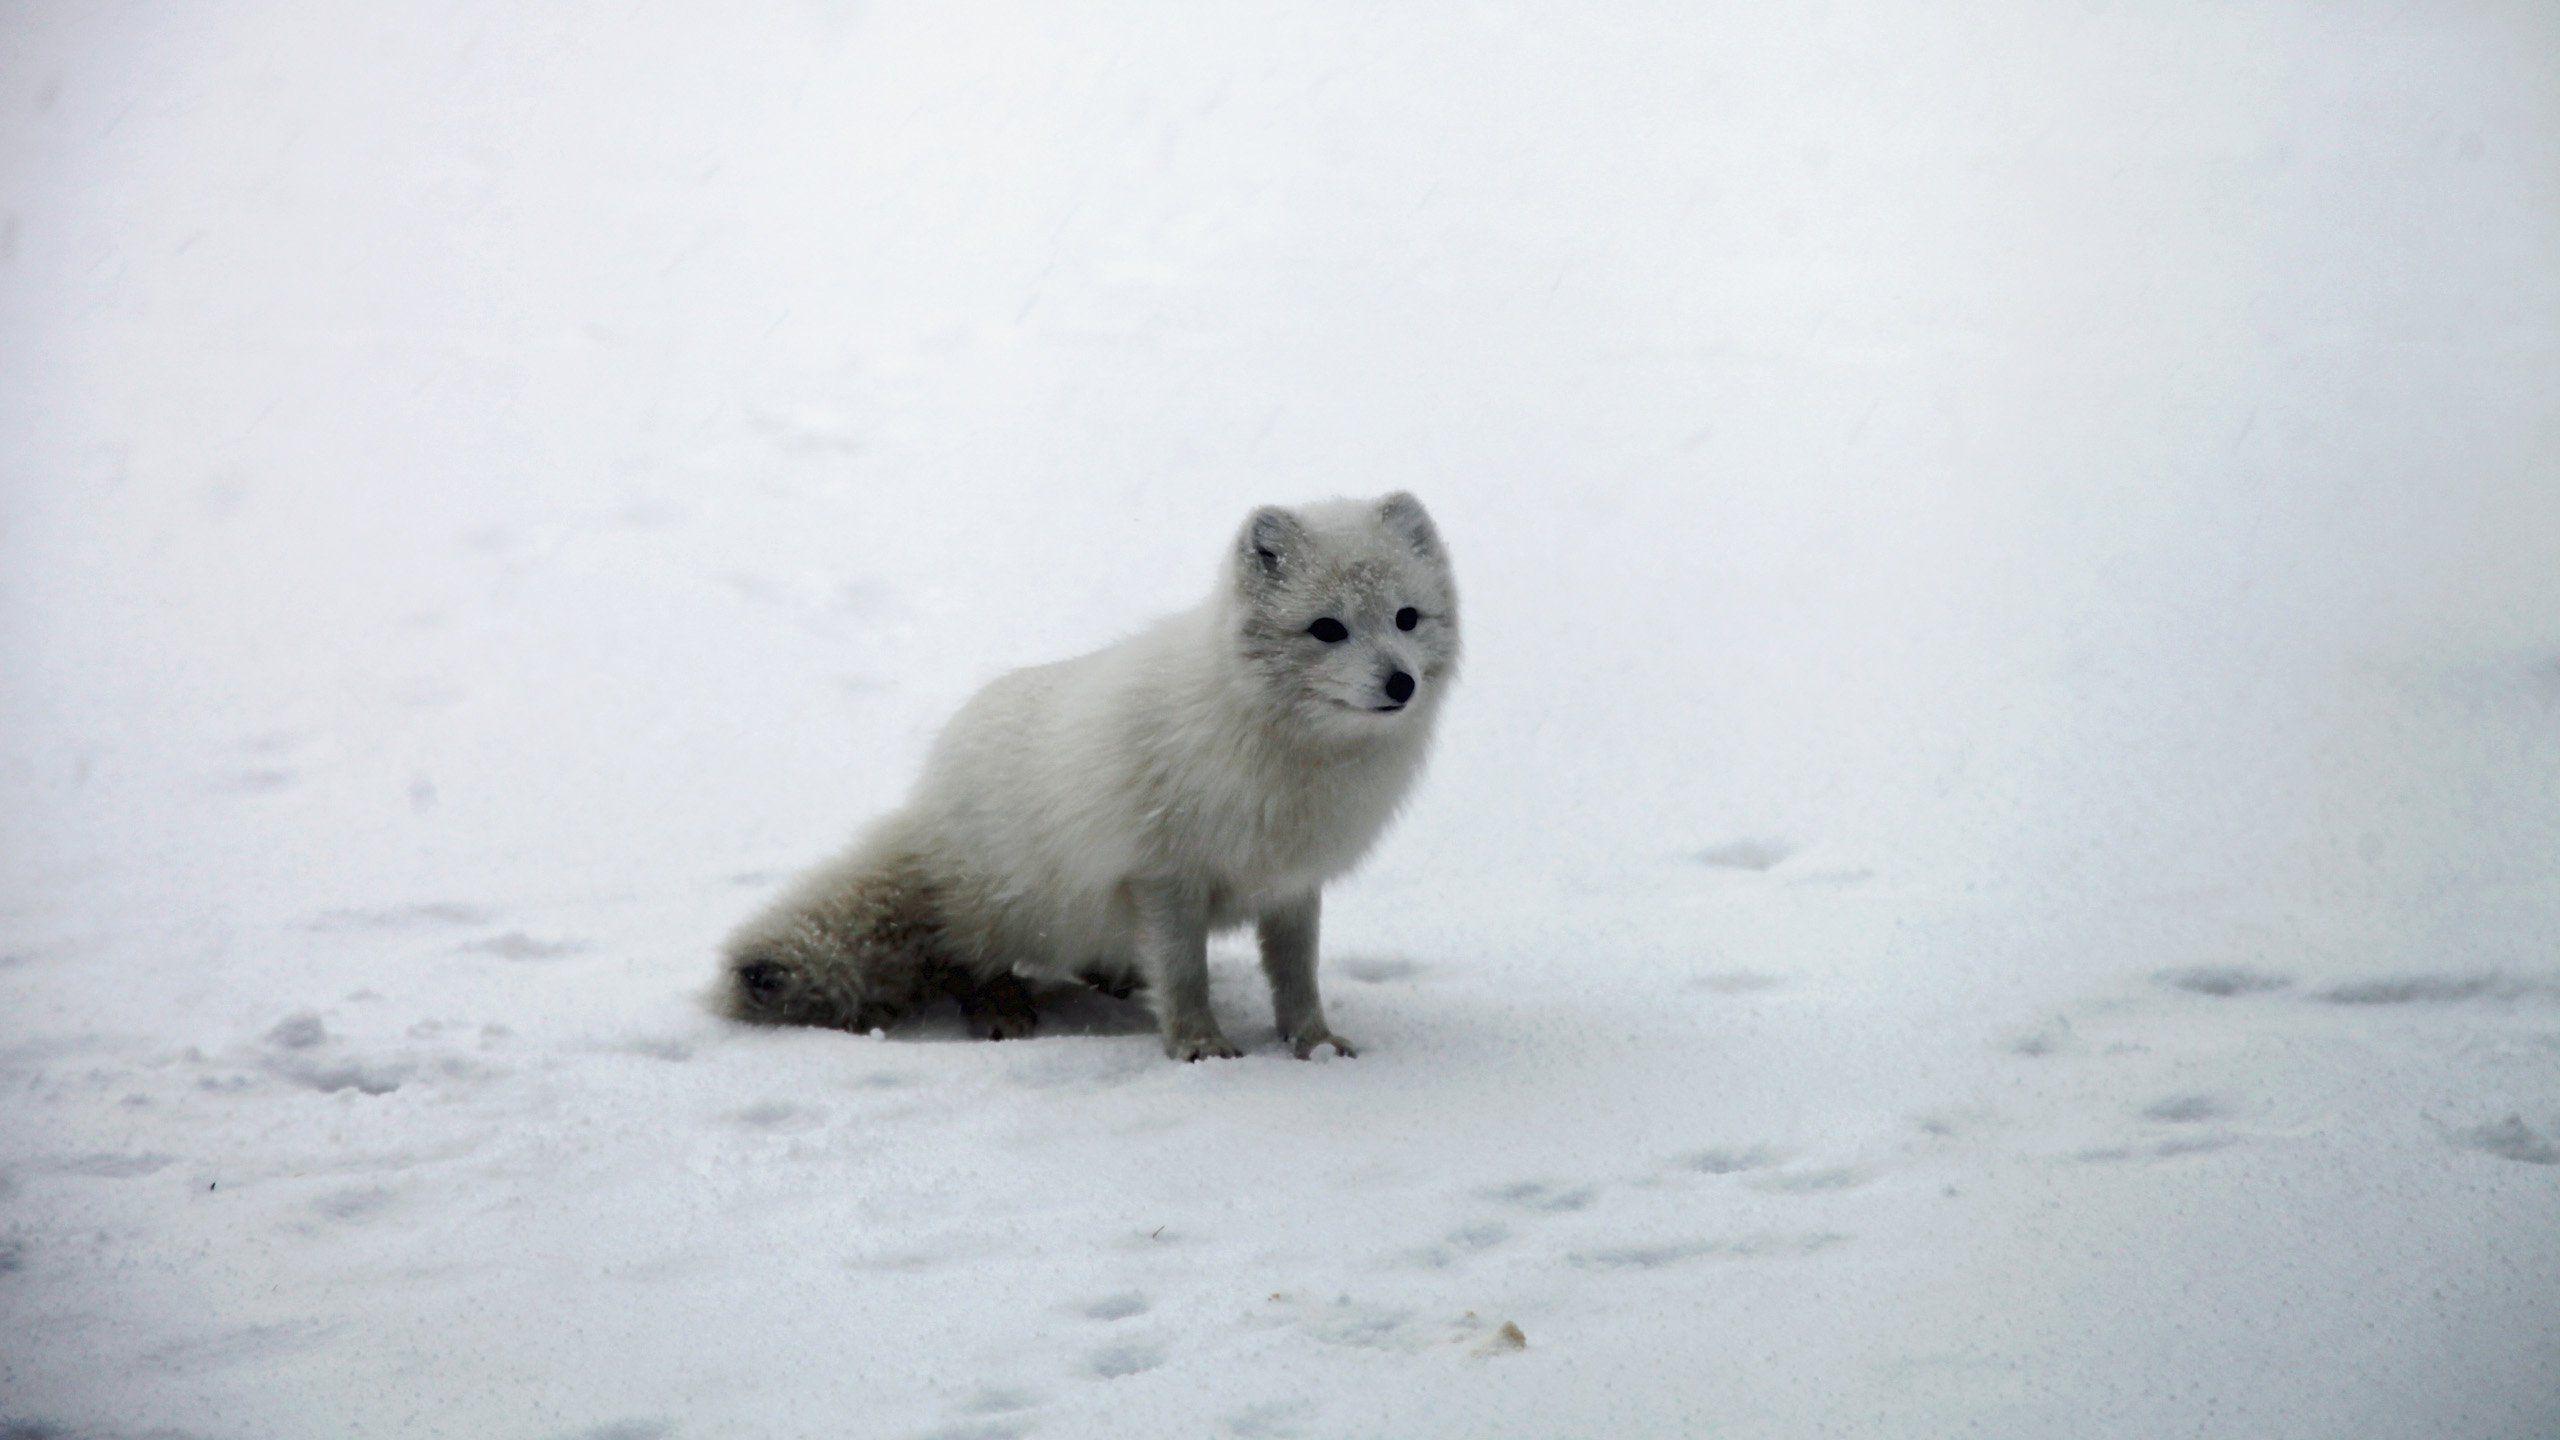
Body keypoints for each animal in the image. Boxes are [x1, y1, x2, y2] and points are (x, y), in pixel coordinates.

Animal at [717, 492, 1459, 1061]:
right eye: (1327, 629)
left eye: (1406, 618)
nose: (1400, 683)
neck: (1291, 752)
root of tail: (925, 797)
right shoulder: (1163, 874)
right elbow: (1185, 974)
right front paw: (1198, 1048)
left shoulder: (1292, 882)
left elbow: (1298, 977)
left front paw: (1316, 1045)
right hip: (998, 900)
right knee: (964, 961)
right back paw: (1003, 1010)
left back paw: (1114, 972)